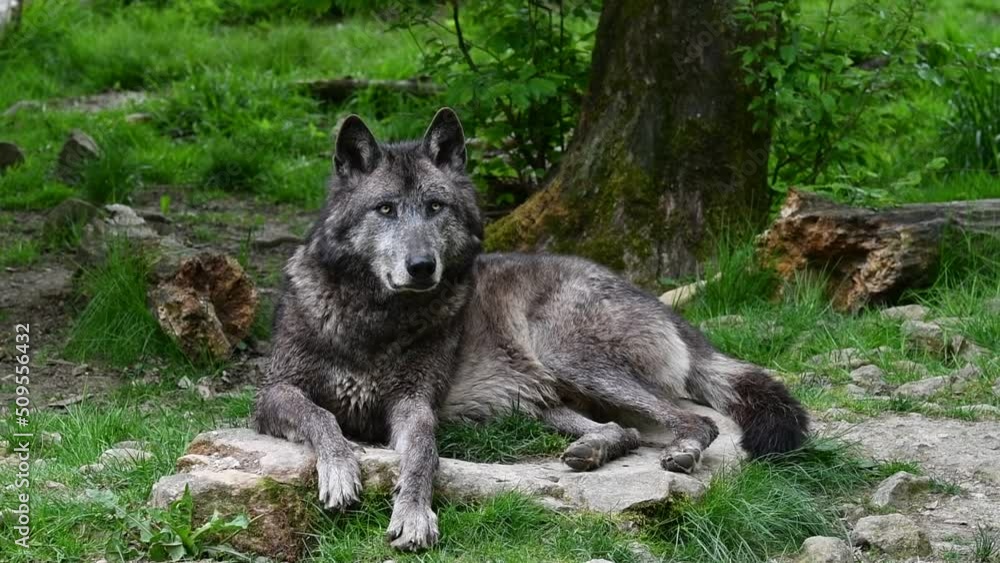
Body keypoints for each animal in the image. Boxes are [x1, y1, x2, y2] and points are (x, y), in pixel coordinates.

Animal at [254, 108, 809, 551]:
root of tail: (664, 307)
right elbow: (322, 417)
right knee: (625, 429)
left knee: (695, 421)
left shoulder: (414, 405)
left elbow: (422, 455)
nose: (422, 266)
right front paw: (341, 470)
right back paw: (593, 450)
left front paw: (413, 515)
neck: (374, 319)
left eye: (435, 207)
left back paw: (681, 451)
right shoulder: (273, 394)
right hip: (536, 403)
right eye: (385, 208)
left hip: (568, 360)